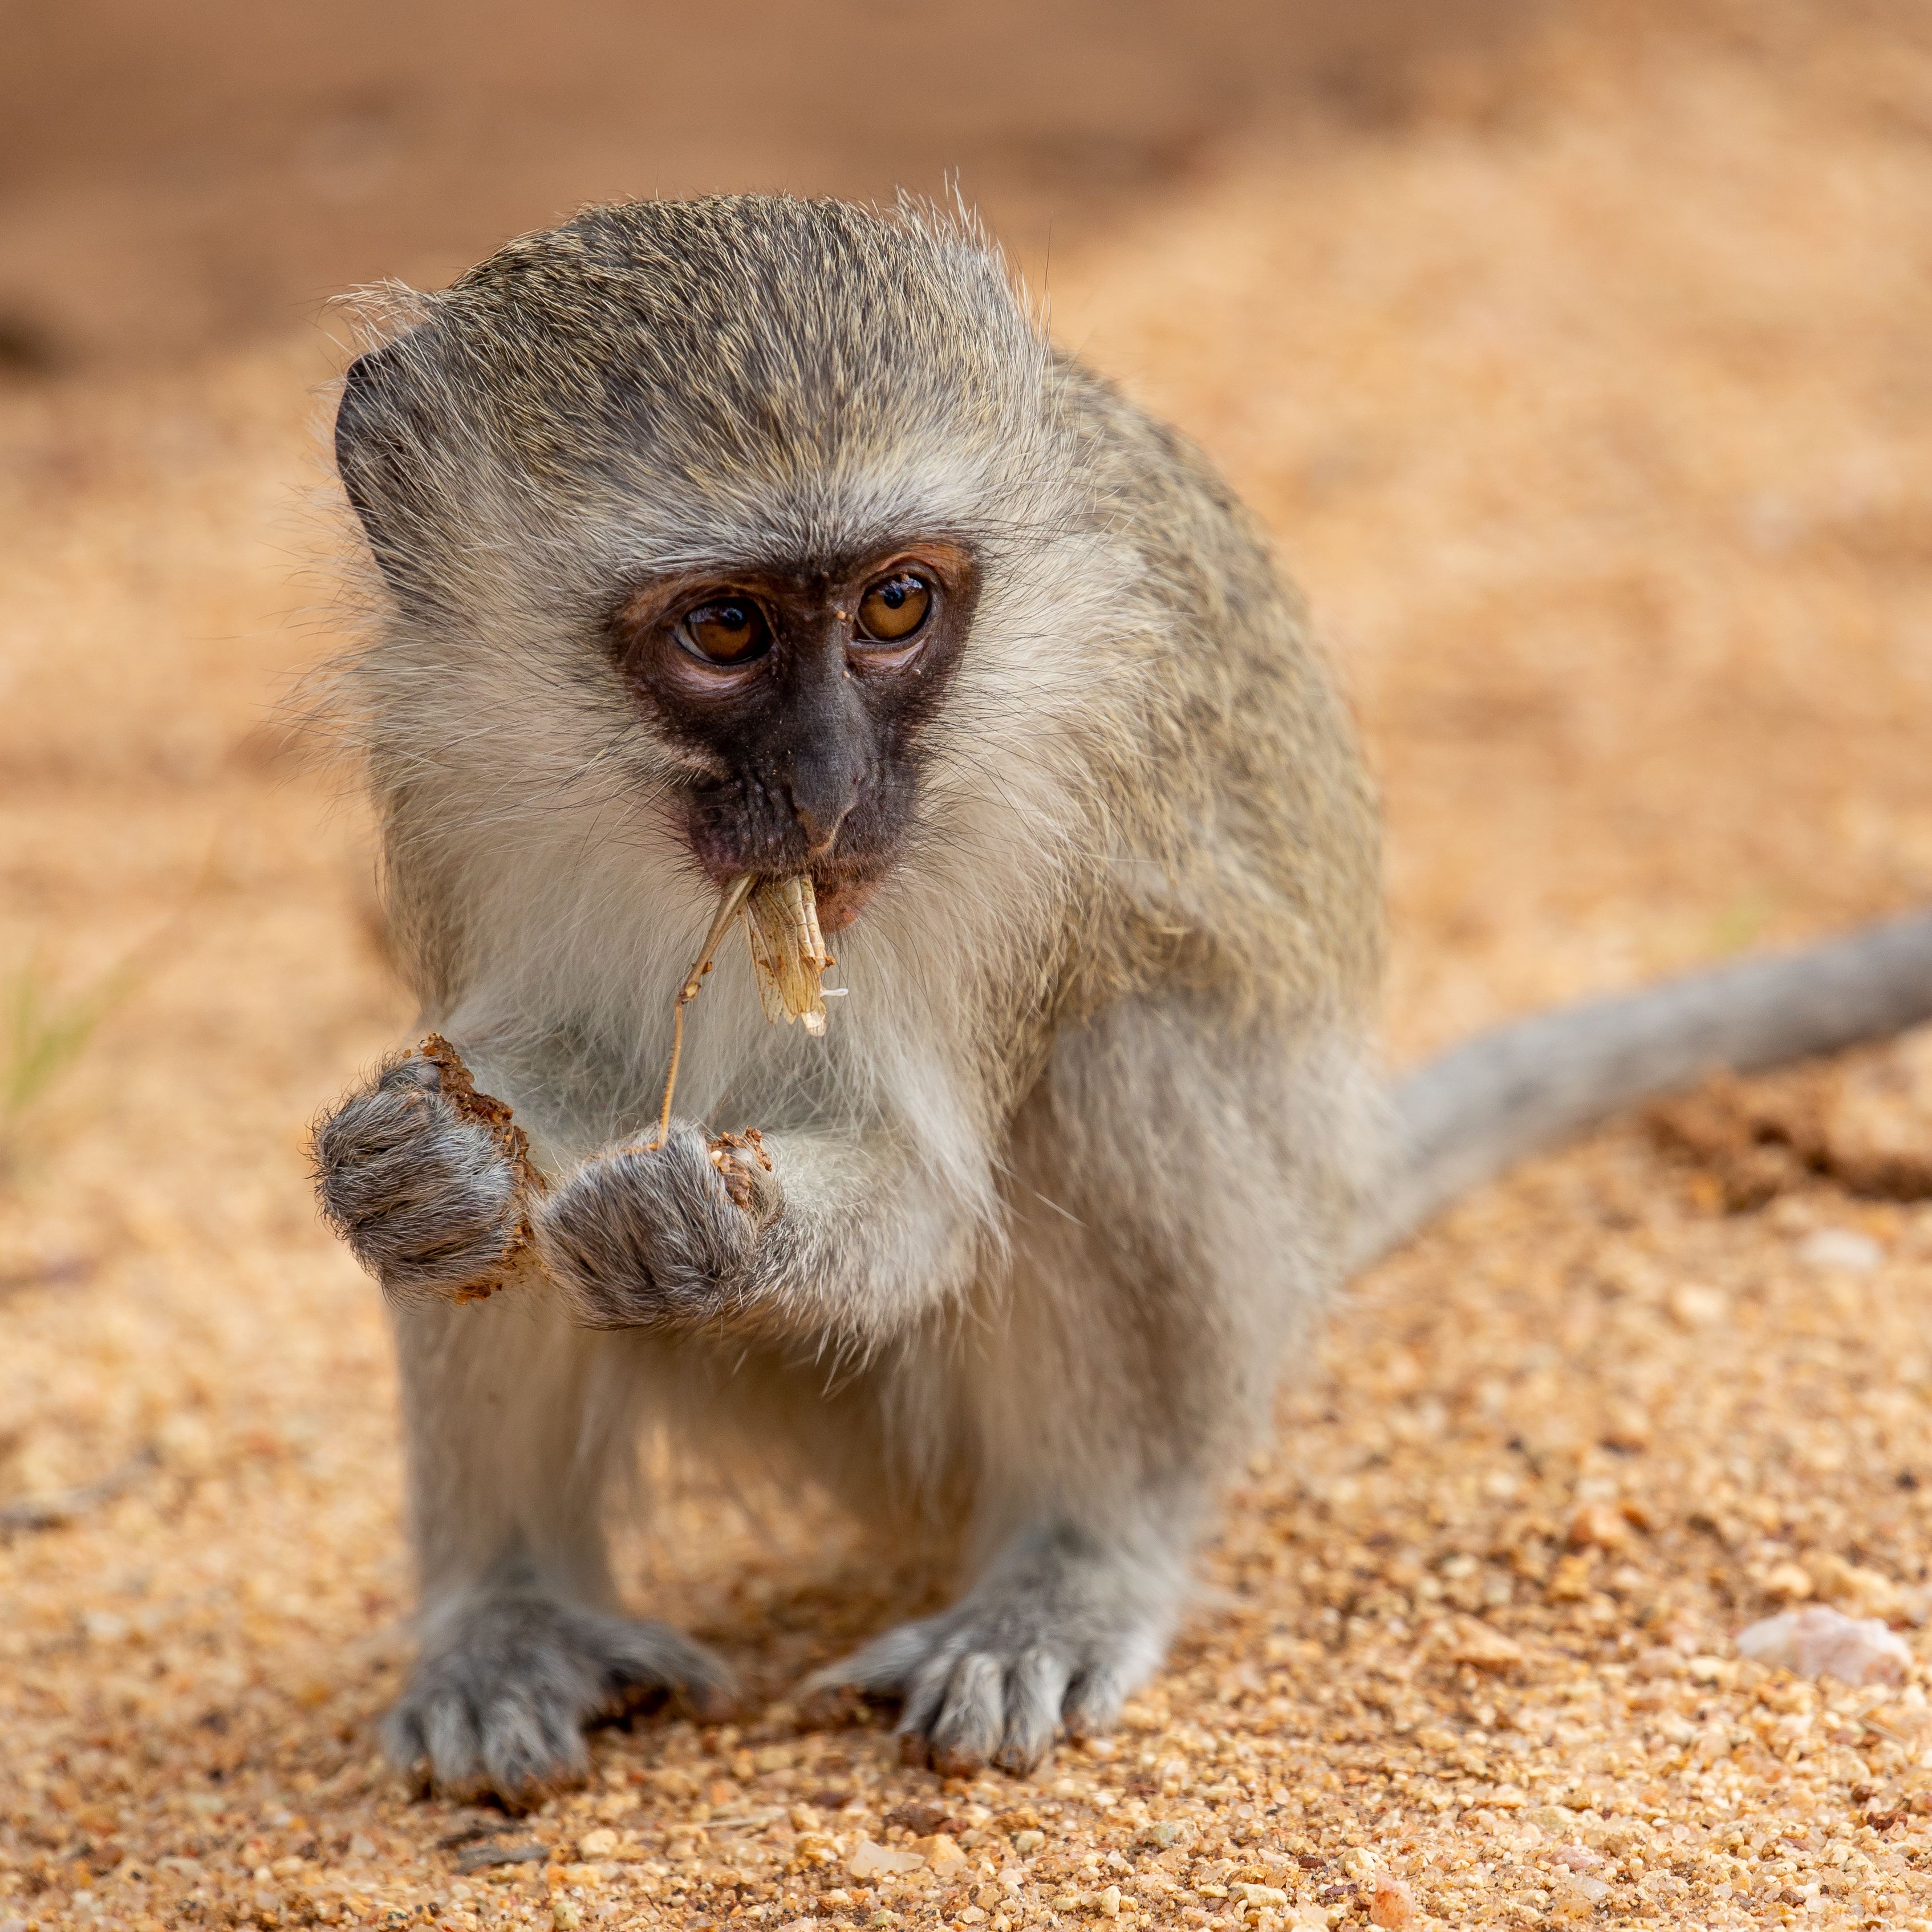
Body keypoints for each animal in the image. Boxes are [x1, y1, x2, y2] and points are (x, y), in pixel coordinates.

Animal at [309, 193, 1932, 1803]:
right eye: (723, 629)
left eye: (895, 602)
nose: (830, 790)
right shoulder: (449, 779)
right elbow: (500, 1093)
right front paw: (434, 1161)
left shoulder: (1059, 801)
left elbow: (930, 1196)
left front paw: (704, 1222)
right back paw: (510, 1611)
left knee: (1119, 1052)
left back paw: (1077, 1570)